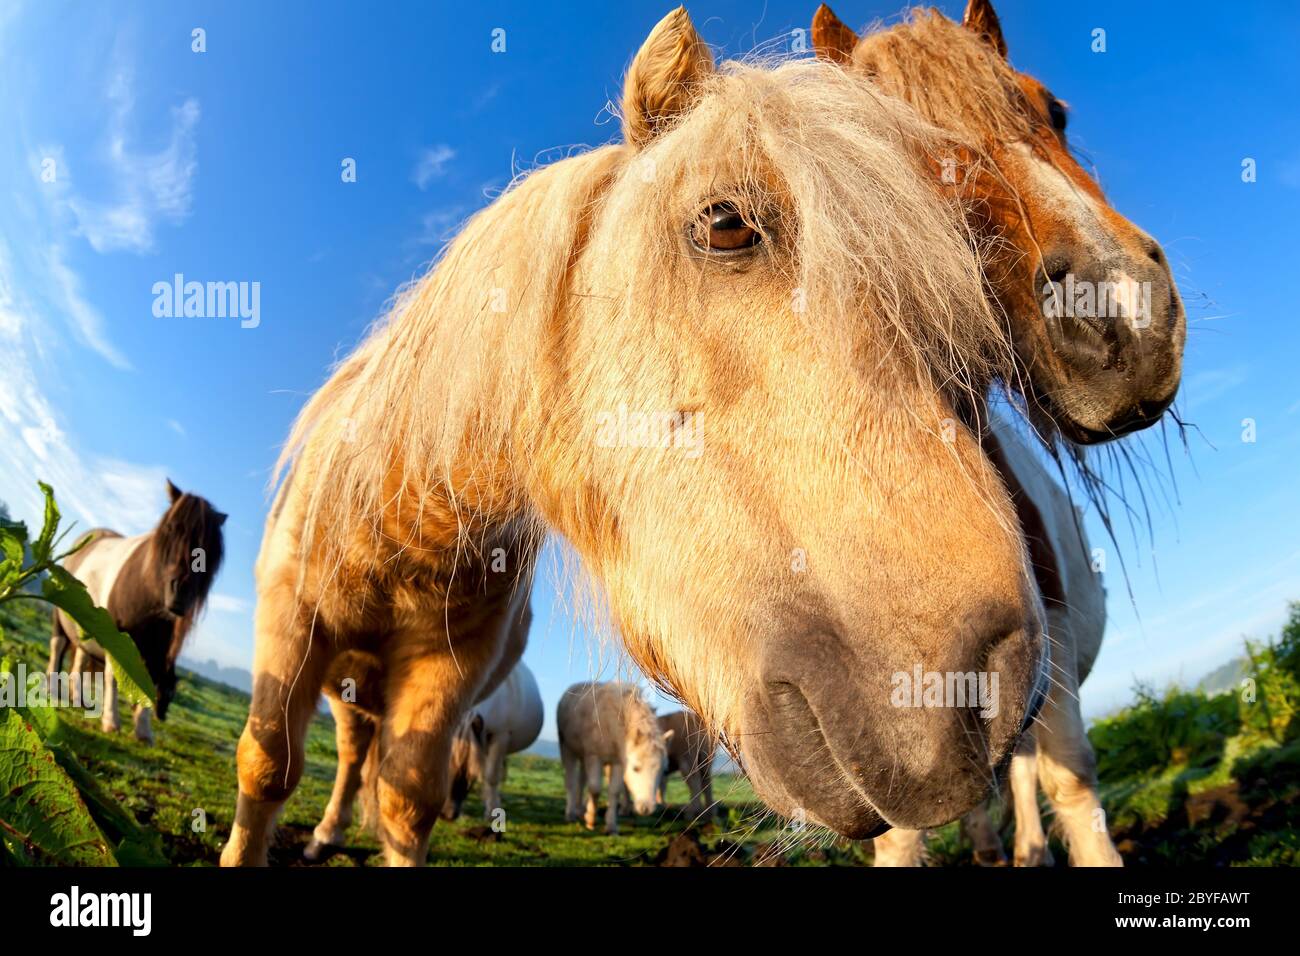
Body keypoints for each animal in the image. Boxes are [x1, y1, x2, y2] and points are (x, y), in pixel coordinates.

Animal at [46, 479, 225, 744]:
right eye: (171, 529)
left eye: (210, 549)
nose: (181, 593)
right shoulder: (117, 637)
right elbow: (113, 677)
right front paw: (111, 722)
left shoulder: (159, 651)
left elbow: (151, 681)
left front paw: (143, 731)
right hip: (60, 615)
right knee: (57, 647)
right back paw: (51, 689)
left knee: (80, 655)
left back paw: (78, 699)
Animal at [558, 682, 671, 834]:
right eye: (636, 768)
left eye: (663, 771)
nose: (646, 808)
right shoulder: (594, 757)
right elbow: (595, 789)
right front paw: (590, 819)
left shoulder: (618, 762)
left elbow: (614, 791)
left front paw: (611, 826)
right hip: (567, 749)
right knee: (571, 781)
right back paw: (571, 814)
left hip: (583, 756)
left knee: (581, 781)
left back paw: (579, 810)